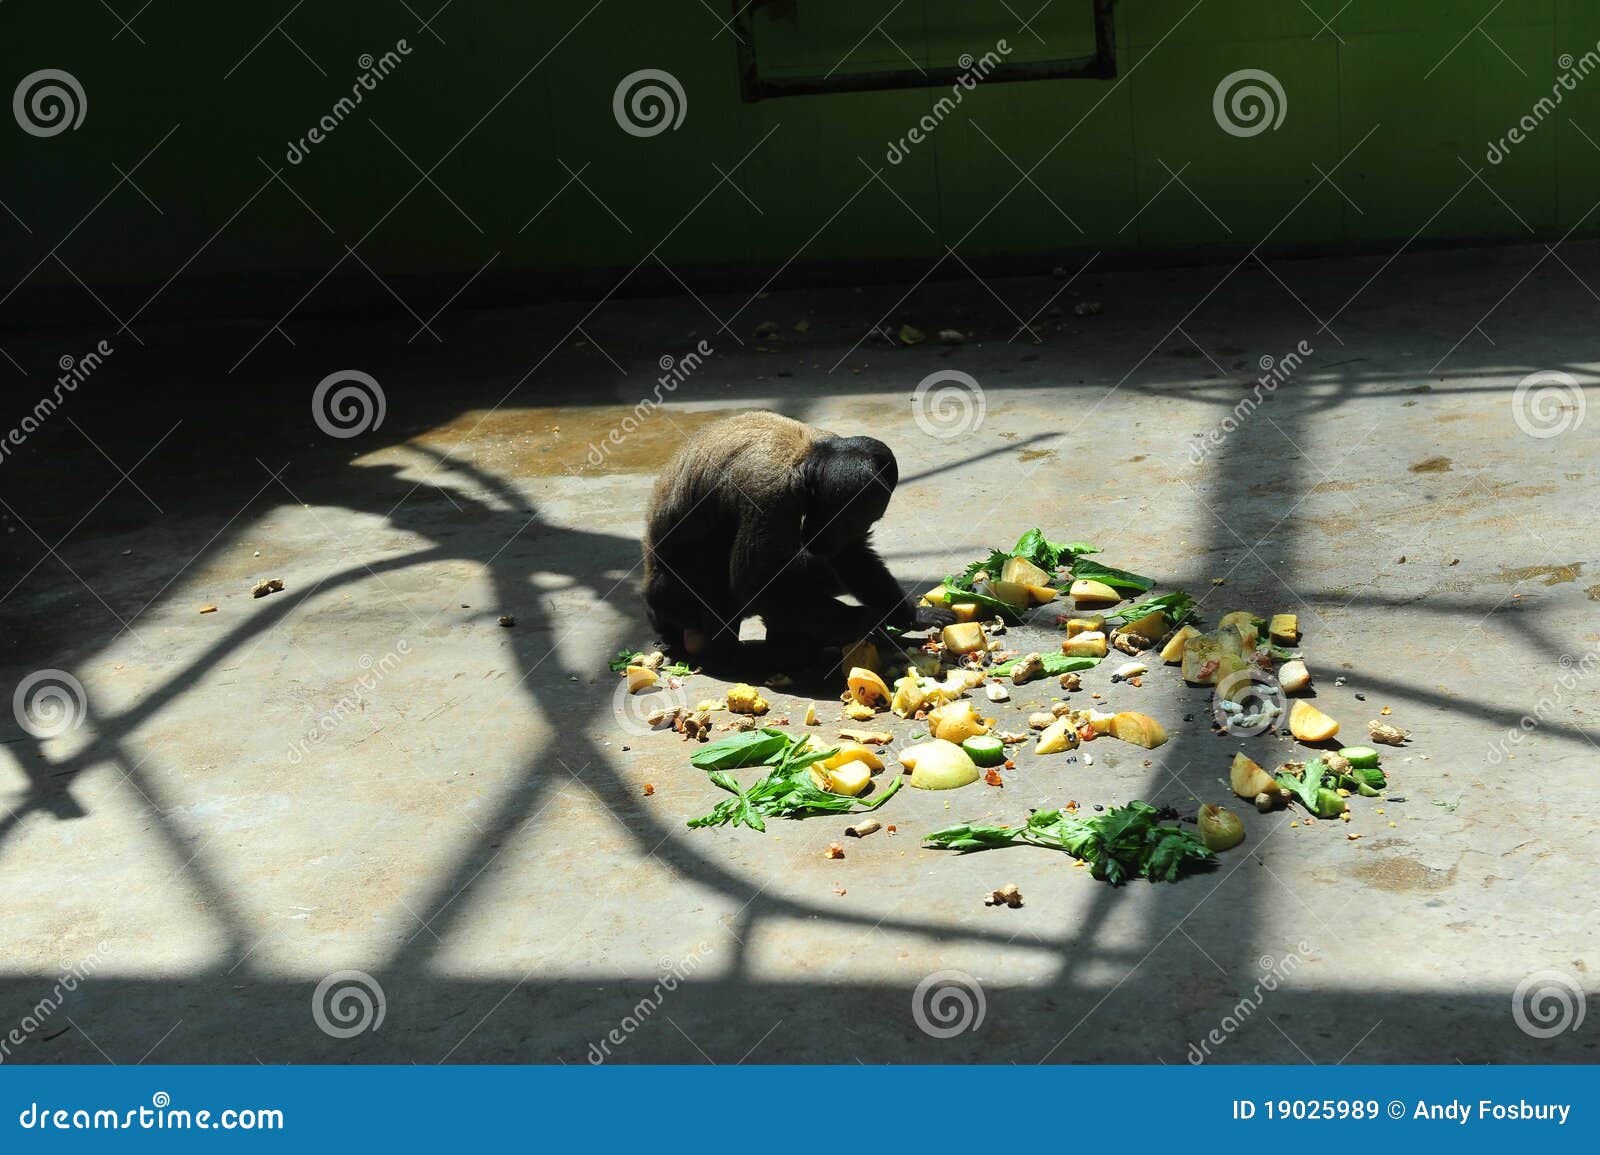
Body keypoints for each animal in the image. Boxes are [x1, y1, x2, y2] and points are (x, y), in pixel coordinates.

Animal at [642, 411, 949, 664]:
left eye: (858, 525)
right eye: (846, 520)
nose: (826, 538)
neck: (807, 456)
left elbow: (849, 556)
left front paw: (909, 616)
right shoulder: (769, 495)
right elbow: (755, 585)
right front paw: (870, 621)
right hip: (676, 597)